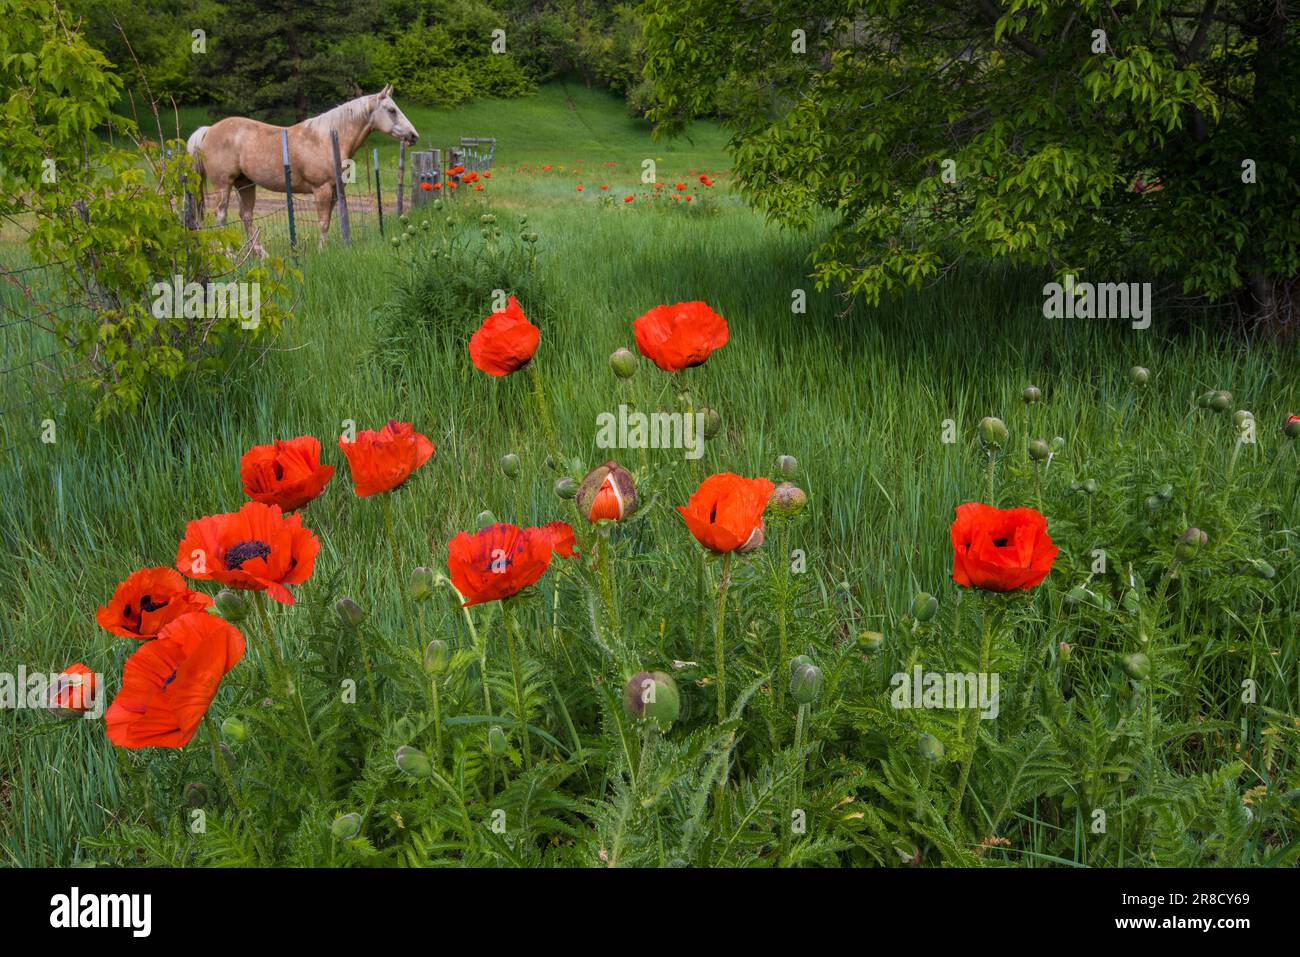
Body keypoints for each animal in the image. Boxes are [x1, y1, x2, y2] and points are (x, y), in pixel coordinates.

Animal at [186, 85, 419, 254]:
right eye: (391, 110)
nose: (413, 135)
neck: (325, 138)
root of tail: (209, 130)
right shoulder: (321, 190)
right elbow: (323, 222)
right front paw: (321, 251)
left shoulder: (334, 192)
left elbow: (329, 220)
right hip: (223, 185)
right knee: (221, 215)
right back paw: (228, 254)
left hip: (245, 184)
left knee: (246, 216)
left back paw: (261, 254)